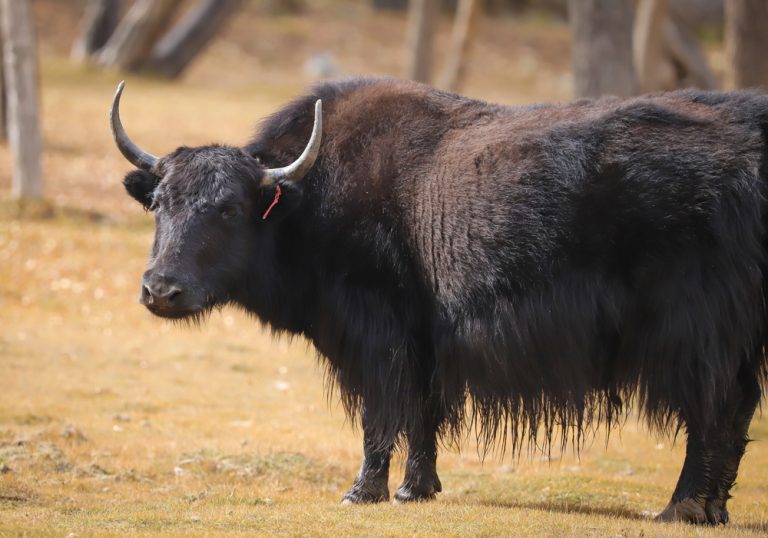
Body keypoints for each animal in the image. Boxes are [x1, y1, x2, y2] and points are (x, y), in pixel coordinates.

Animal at [109, 77, 768, 525]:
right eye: (160, 202)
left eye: (228, 209)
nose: (160, 290)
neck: (309, 200)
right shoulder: (425, 336)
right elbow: (422, 410)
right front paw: (415, 489)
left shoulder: (375, 332)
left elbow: (380, 412)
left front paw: (363, 492)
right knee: (735, 412)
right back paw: (711, 509)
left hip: (698, 331)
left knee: (714, 410)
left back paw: (682, 507)